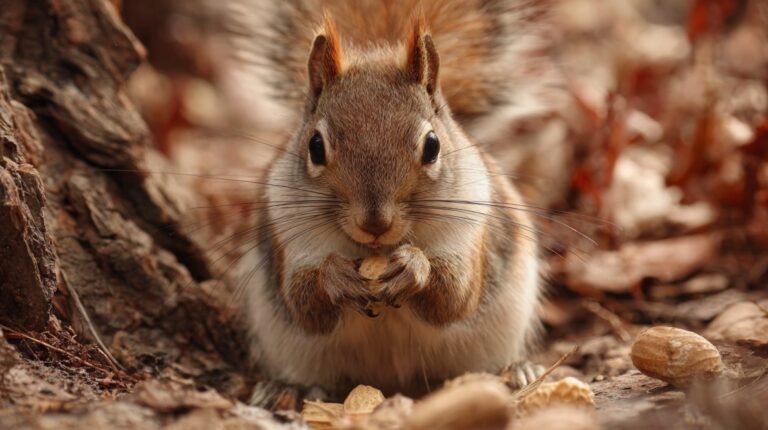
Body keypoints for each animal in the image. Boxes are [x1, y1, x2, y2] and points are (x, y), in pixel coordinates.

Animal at [227, 0, 545, 403]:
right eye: (315, 146)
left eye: (432, 146)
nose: (375, 224)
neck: (376, 249)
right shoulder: (289, 233)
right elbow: (303, 305)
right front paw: (336, 275)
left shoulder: (469, 229)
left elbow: (456, 297)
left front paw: (413, 267)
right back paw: (282, 389)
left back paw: (518, 371)